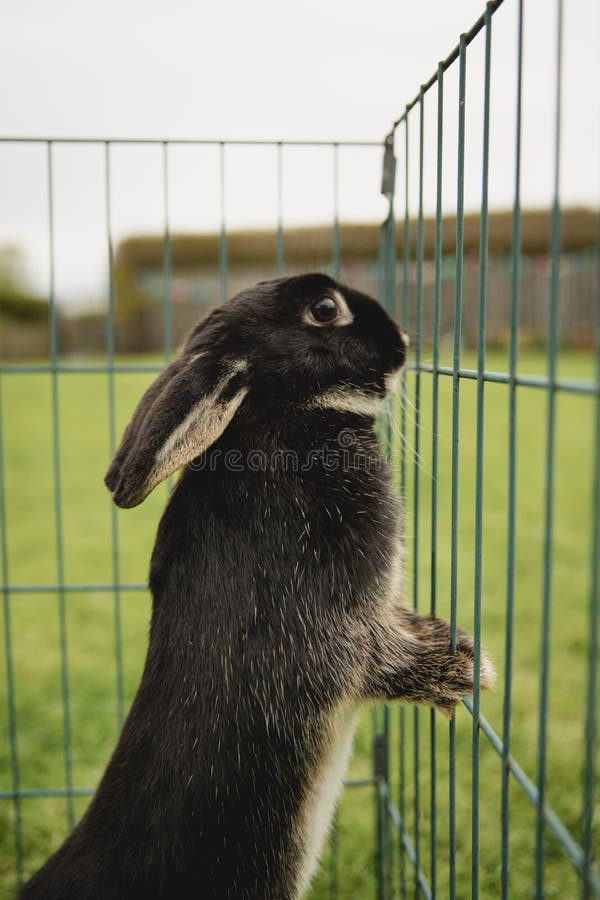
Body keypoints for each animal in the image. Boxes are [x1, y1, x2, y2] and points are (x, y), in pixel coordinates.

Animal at [19, 272, 494, 900]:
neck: (283, 417)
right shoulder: (326, 619)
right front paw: (464, 669)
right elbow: (378, 661)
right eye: (325, 309)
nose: (405, 340)